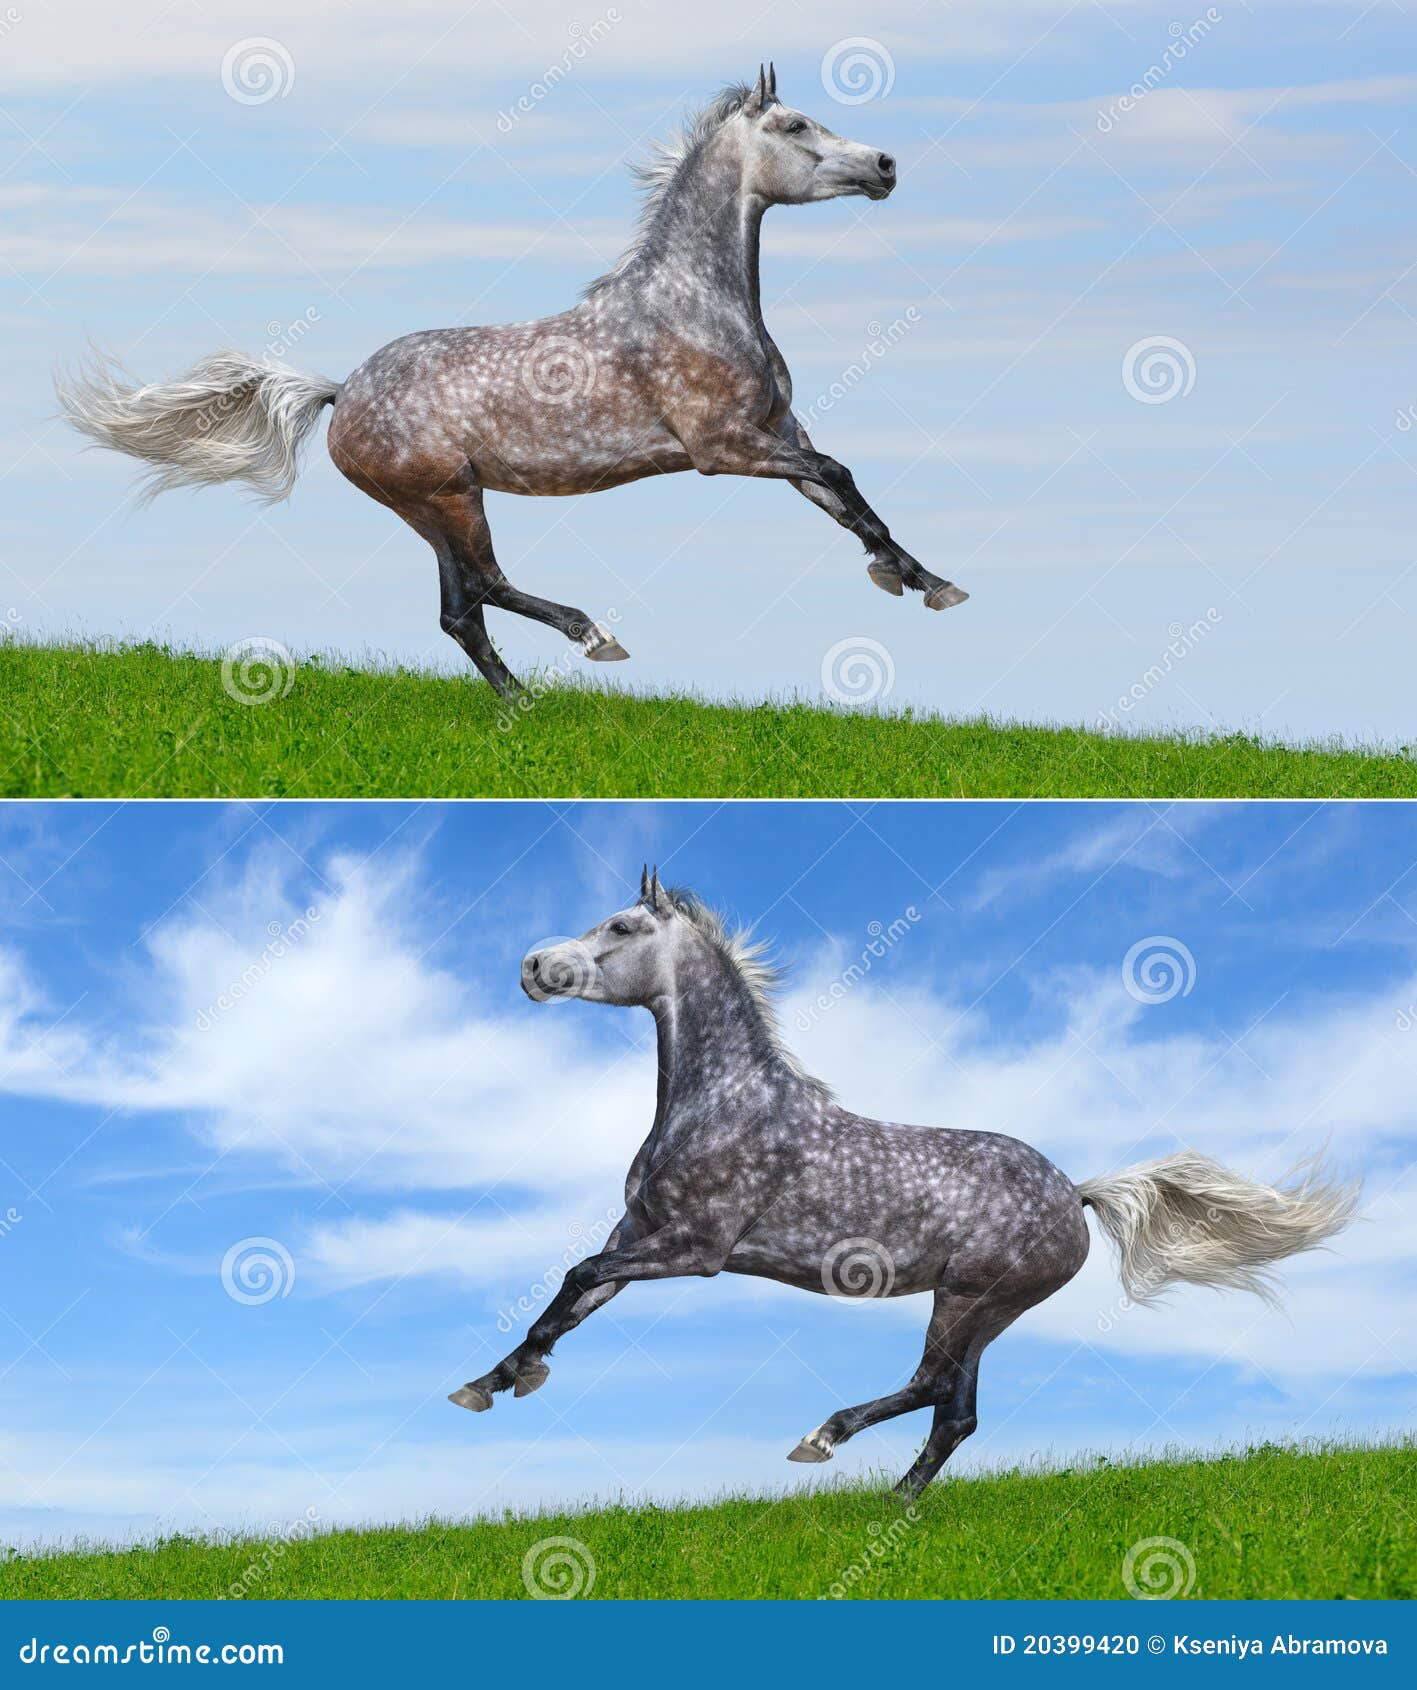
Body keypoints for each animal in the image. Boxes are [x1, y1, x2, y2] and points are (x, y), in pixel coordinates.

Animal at [56, 66, 967, 698]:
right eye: (793, 123)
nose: (885, 164)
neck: (690, 305)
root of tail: (341, 391)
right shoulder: (725, 449)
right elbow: (841, 477)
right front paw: (912, 582)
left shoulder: (778, 435)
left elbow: (844, 497)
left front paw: (921, 579)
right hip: (449, 495)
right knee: (481, 590)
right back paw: (586, 645)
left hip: (427, 508)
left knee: (460, 608)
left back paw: (522, 701)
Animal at [449, 871, 1360, 1496]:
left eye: (621, 924)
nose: (532, 964)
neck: (723, 1103)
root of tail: (1074, 1193)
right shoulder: (638, 1234)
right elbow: (571, 1299)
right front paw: (492, 1382)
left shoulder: (694, 1250)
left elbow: (576, 1279)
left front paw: (511, 1379)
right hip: (989, 1311)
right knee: (955, 1410)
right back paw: (895, 1498)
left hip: (969, 1295)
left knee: (933, 1388)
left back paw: (827, 1443)